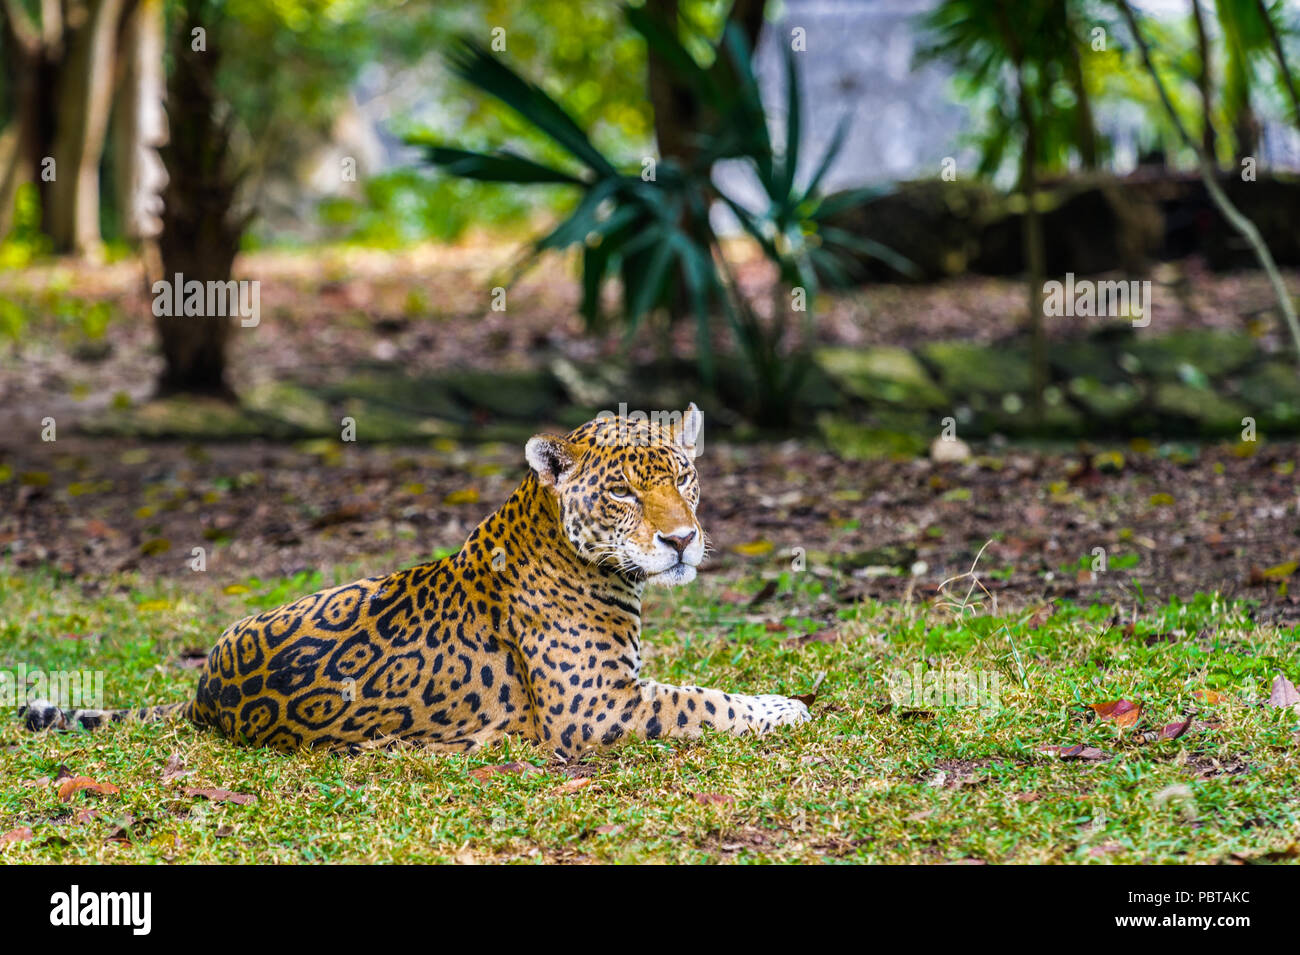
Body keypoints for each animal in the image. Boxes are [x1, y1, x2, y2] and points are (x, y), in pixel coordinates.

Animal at [21, 404, 811, 757]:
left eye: (683, 478)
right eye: (621, 493)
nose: (681, 540)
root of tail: (203, 697)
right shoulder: (597, 708)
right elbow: (702, 702)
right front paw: (785, 706)